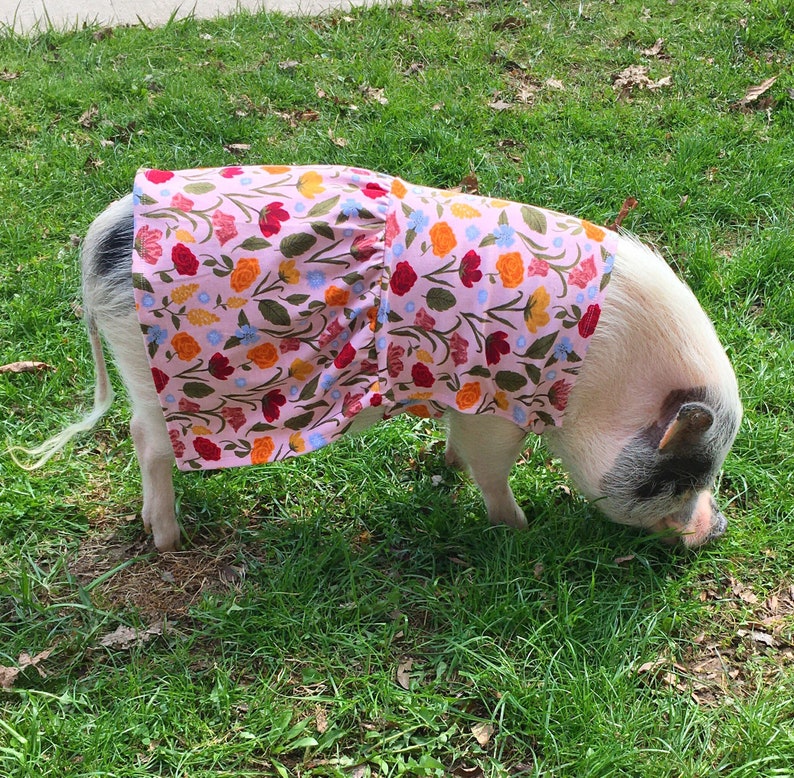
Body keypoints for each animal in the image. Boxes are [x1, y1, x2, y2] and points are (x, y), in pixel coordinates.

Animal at [16, 165, 742, 552]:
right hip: (162, 384)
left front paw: (444, 467)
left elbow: (458, 448)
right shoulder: (493, 409)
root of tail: (102, 238)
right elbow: (491, 470)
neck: (597, 381)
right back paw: (168, 539)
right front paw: (518, 529)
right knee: (146, 441)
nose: (716, 529)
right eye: (679, 477)